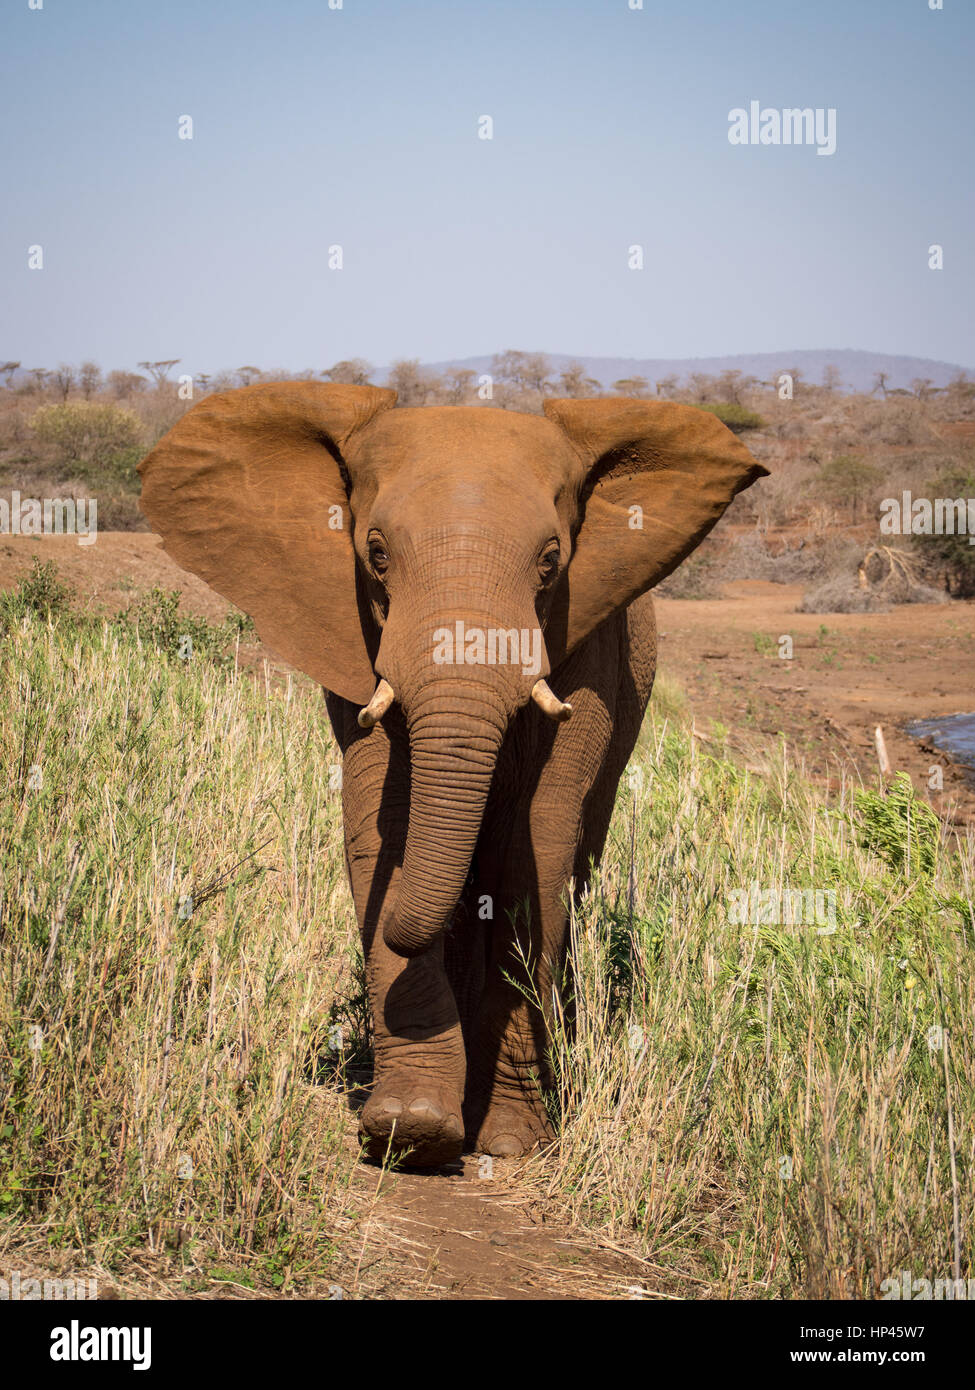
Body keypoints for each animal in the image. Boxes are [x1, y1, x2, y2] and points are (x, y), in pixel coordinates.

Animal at [139, 383, 767, 1167]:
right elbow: (381, 821)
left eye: (550, 562)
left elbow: (538, 845)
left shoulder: (588, 647)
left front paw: (512, 1141)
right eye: (376, 555)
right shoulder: (356, 640)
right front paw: (411, 1130)